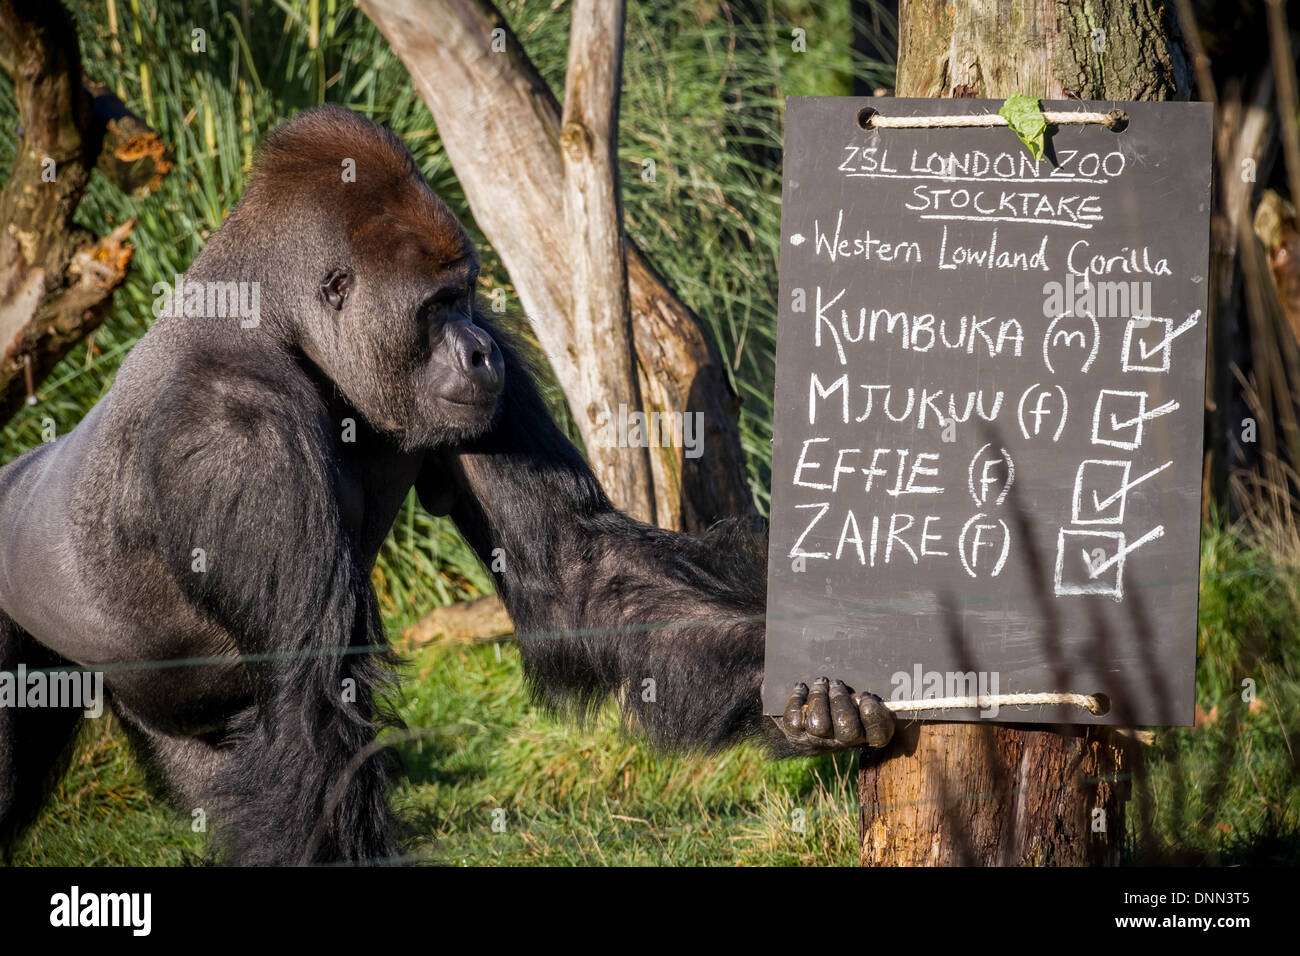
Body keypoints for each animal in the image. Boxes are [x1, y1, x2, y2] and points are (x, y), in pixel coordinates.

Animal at [0, 106, 890, 865]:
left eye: (464, 298)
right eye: (435, 307)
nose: (481, 351)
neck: (279, 326)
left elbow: (579, 573)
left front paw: (806, 683)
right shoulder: (234, 431)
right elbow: (309, 702)